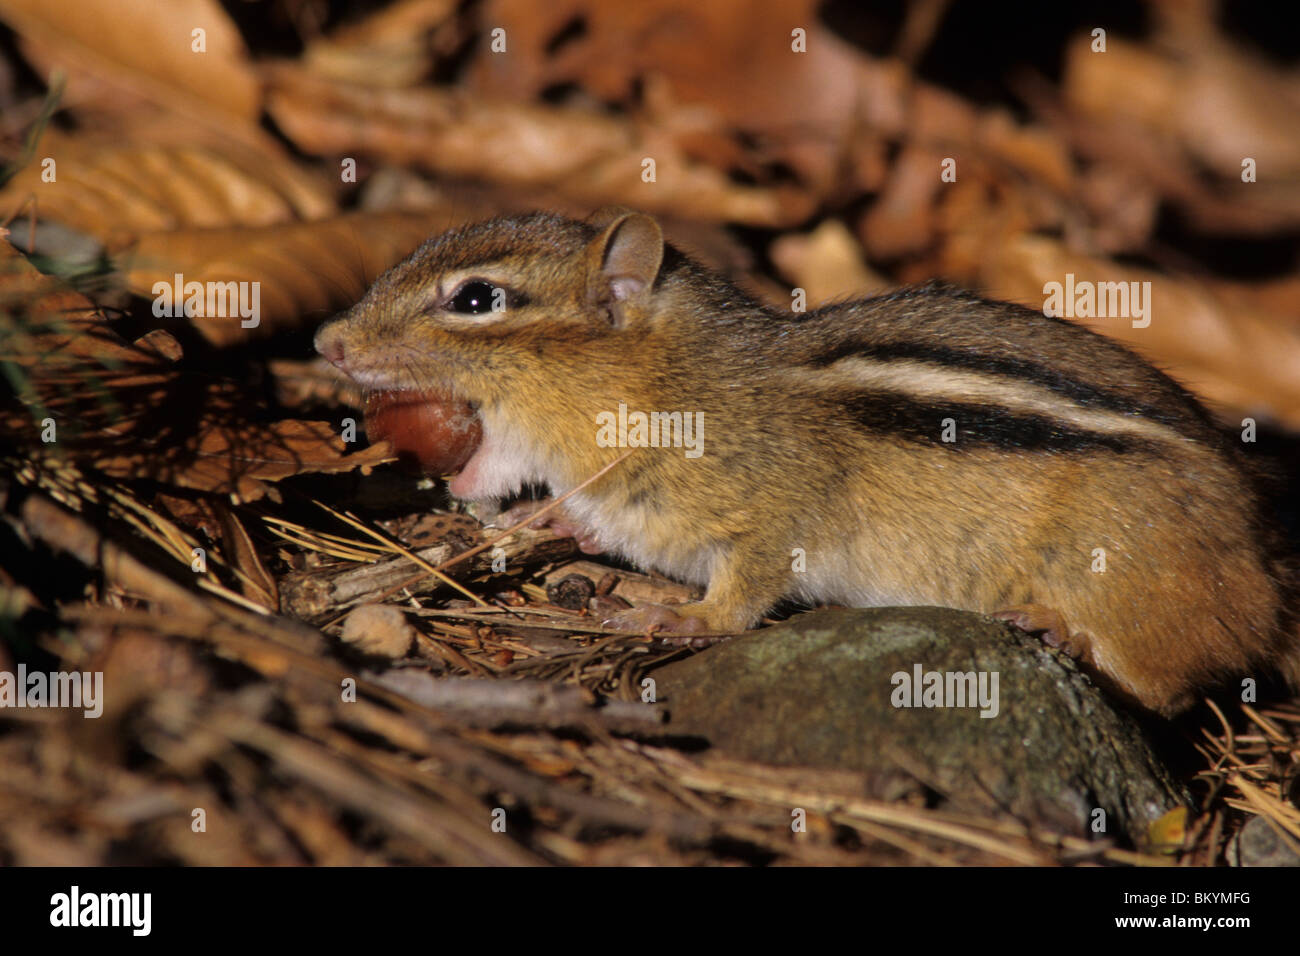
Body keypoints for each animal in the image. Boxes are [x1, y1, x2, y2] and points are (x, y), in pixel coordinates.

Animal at [315, 207, 1300, 717]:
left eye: (477, 300)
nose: (326, 342)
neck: (667, 383)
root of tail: (1265, 570)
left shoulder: (769, 522)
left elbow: (744, 592)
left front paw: (683, 618)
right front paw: (542, 521)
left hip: (1128, 579)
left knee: (1168, 681)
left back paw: (1063, 632)